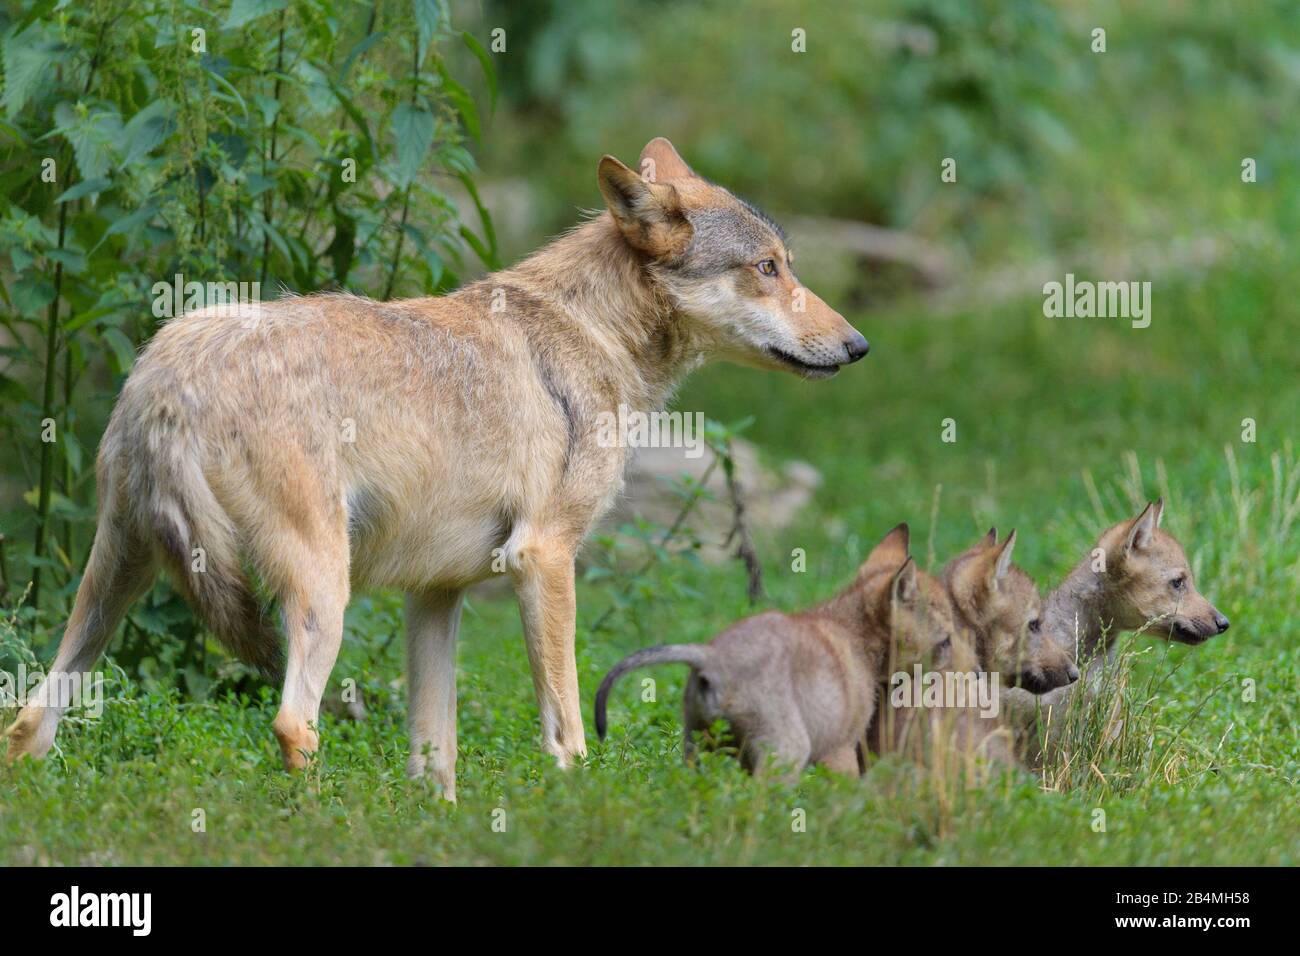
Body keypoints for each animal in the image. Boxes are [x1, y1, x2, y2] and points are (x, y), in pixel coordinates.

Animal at [5, 138, 869, 800]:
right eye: (767, 268)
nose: (859, 346)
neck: (589, 334)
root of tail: (171, 369)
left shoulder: (436, 595)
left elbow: (435, 758)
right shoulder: (544, 559)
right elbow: (568, 735)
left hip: (112, 587)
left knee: (30, 719)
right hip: (321, 596)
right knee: (293, 724)